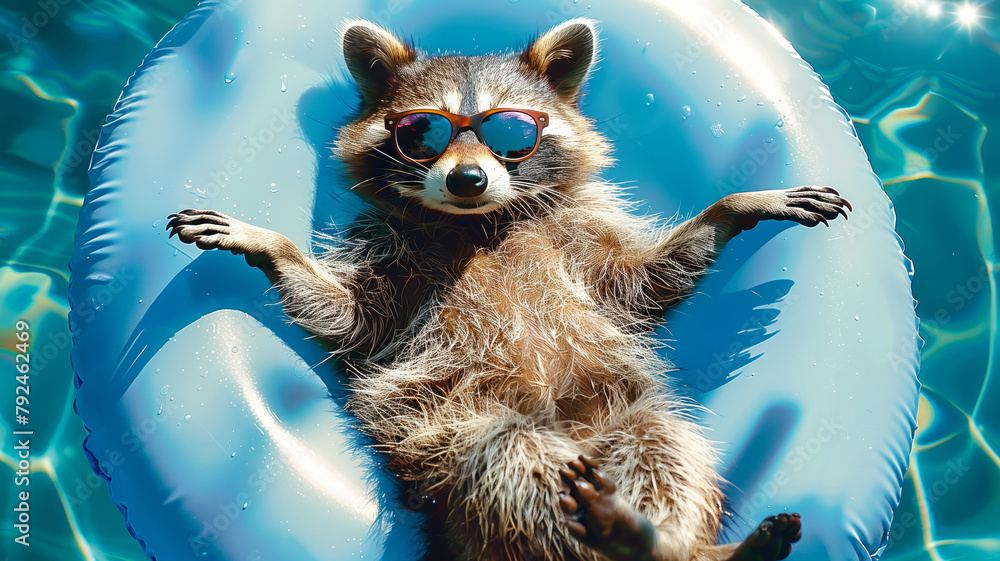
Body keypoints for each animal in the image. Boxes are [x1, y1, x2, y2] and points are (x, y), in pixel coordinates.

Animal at [166, 18, 851, 561]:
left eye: (513, 133)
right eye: (422, 134)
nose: (467, 179)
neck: (479, 222)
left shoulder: (578, 234)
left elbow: (640, 285)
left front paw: (733, 205)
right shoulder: (389, 253)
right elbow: (353, 317)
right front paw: (269, 243)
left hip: (616, 417)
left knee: (663, 441)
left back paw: (672, 541)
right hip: (453, 441)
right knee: (507, 458)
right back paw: (625, 535)